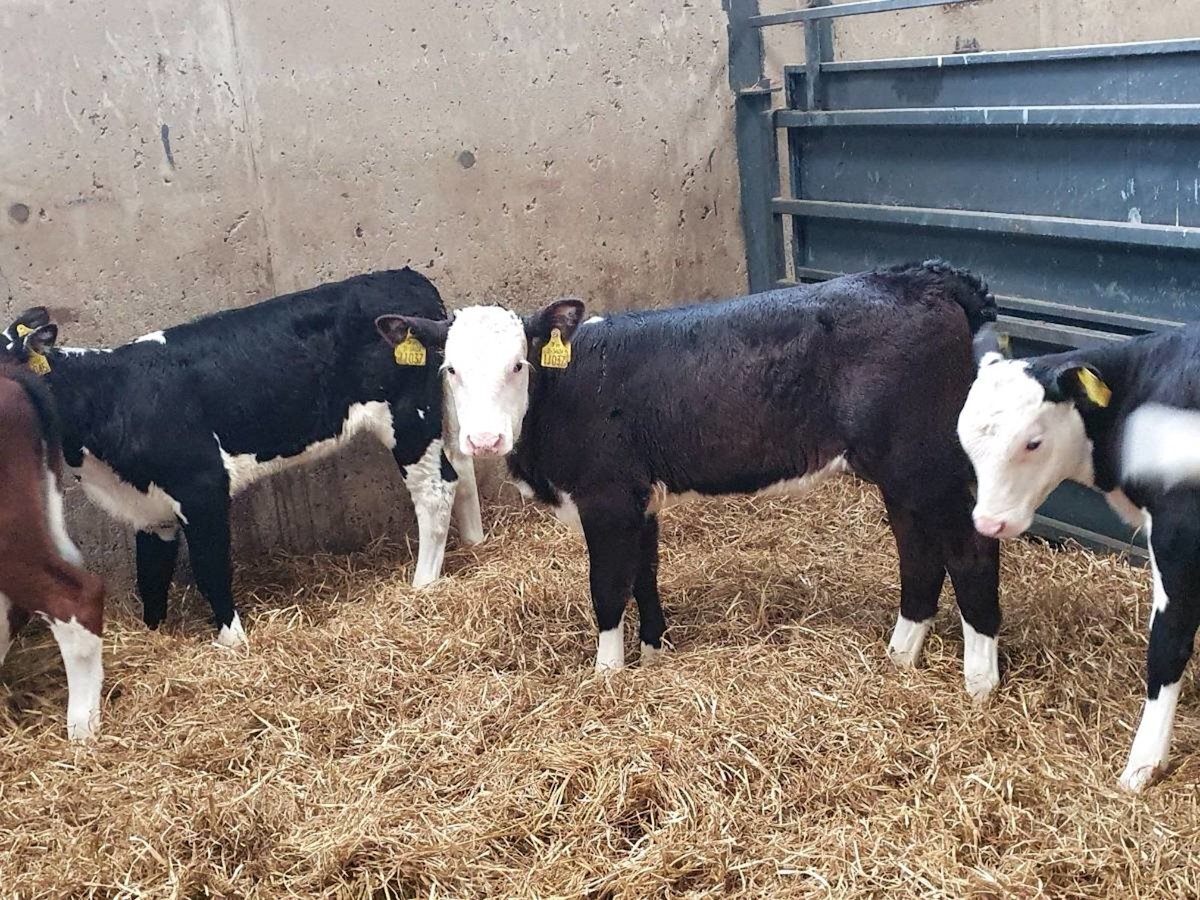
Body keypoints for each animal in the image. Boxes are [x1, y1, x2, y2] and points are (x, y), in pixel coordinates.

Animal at [0, 268, 484, 649]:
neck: (110, 394)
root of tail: (406, 277)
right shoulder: (148, 507)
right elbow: (151, 575)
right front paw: (154, 636)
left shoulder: (201, 487)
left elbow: (210, 566)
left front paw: (232, 641)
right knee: (461, 466)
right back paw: (474, 543)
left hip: (409, 419)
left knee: (435, 488)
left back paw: (424, 583)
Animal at [374, 261, 1003, 699]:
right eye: (449, 368)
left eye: (519, 364)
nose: (483, 441)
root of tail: (924, 276)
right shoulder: (640, 500)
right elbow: (643, 577)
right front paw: (653, 652)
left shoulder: (607, 499)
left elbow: (608, 587)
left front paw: (607, 674)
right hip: (903, 475)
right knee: (919, 551)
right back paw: (900, 655)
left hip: (926, 464)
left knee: (969, 552)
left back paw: (979, 682)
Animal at [956, 324, 1200, 791]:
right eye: (965, 442)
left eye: (1033, 442)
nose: (989, 523)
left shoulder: (1179, 539)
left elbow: (1168, 644)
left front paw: (1142, 767)